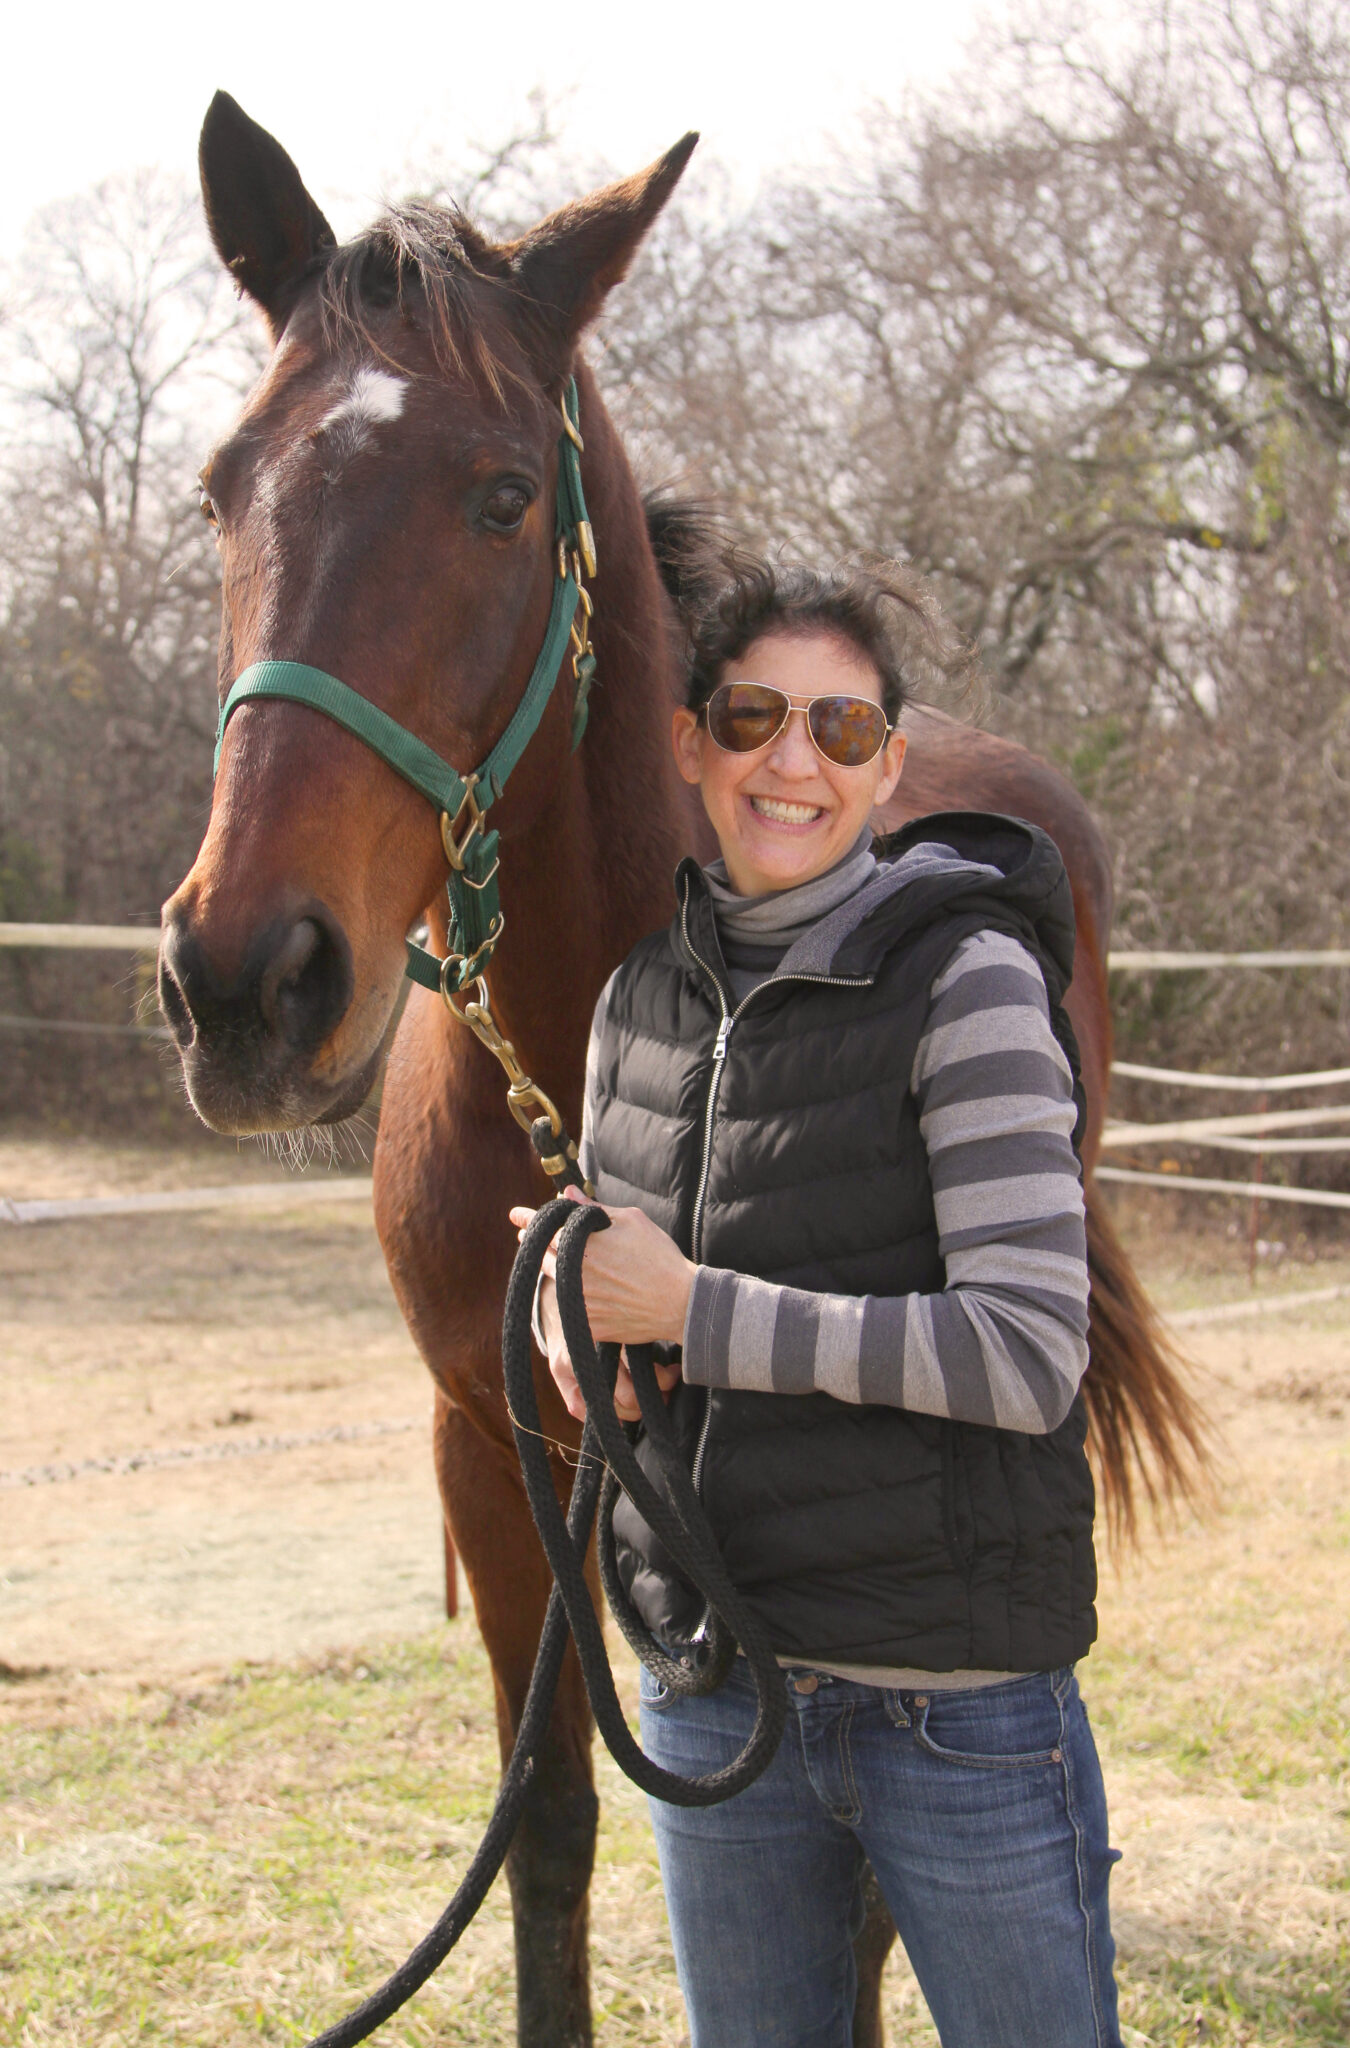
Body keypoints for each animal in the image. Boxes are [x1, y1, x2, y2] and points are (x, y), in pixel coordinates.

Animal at [160, 93, 1202, 2048]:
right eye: (221, 485)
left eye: (502, 494)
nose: (241, 982)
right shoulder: (490, 1440)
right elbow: (550, 1829)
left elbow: (851, 1857)